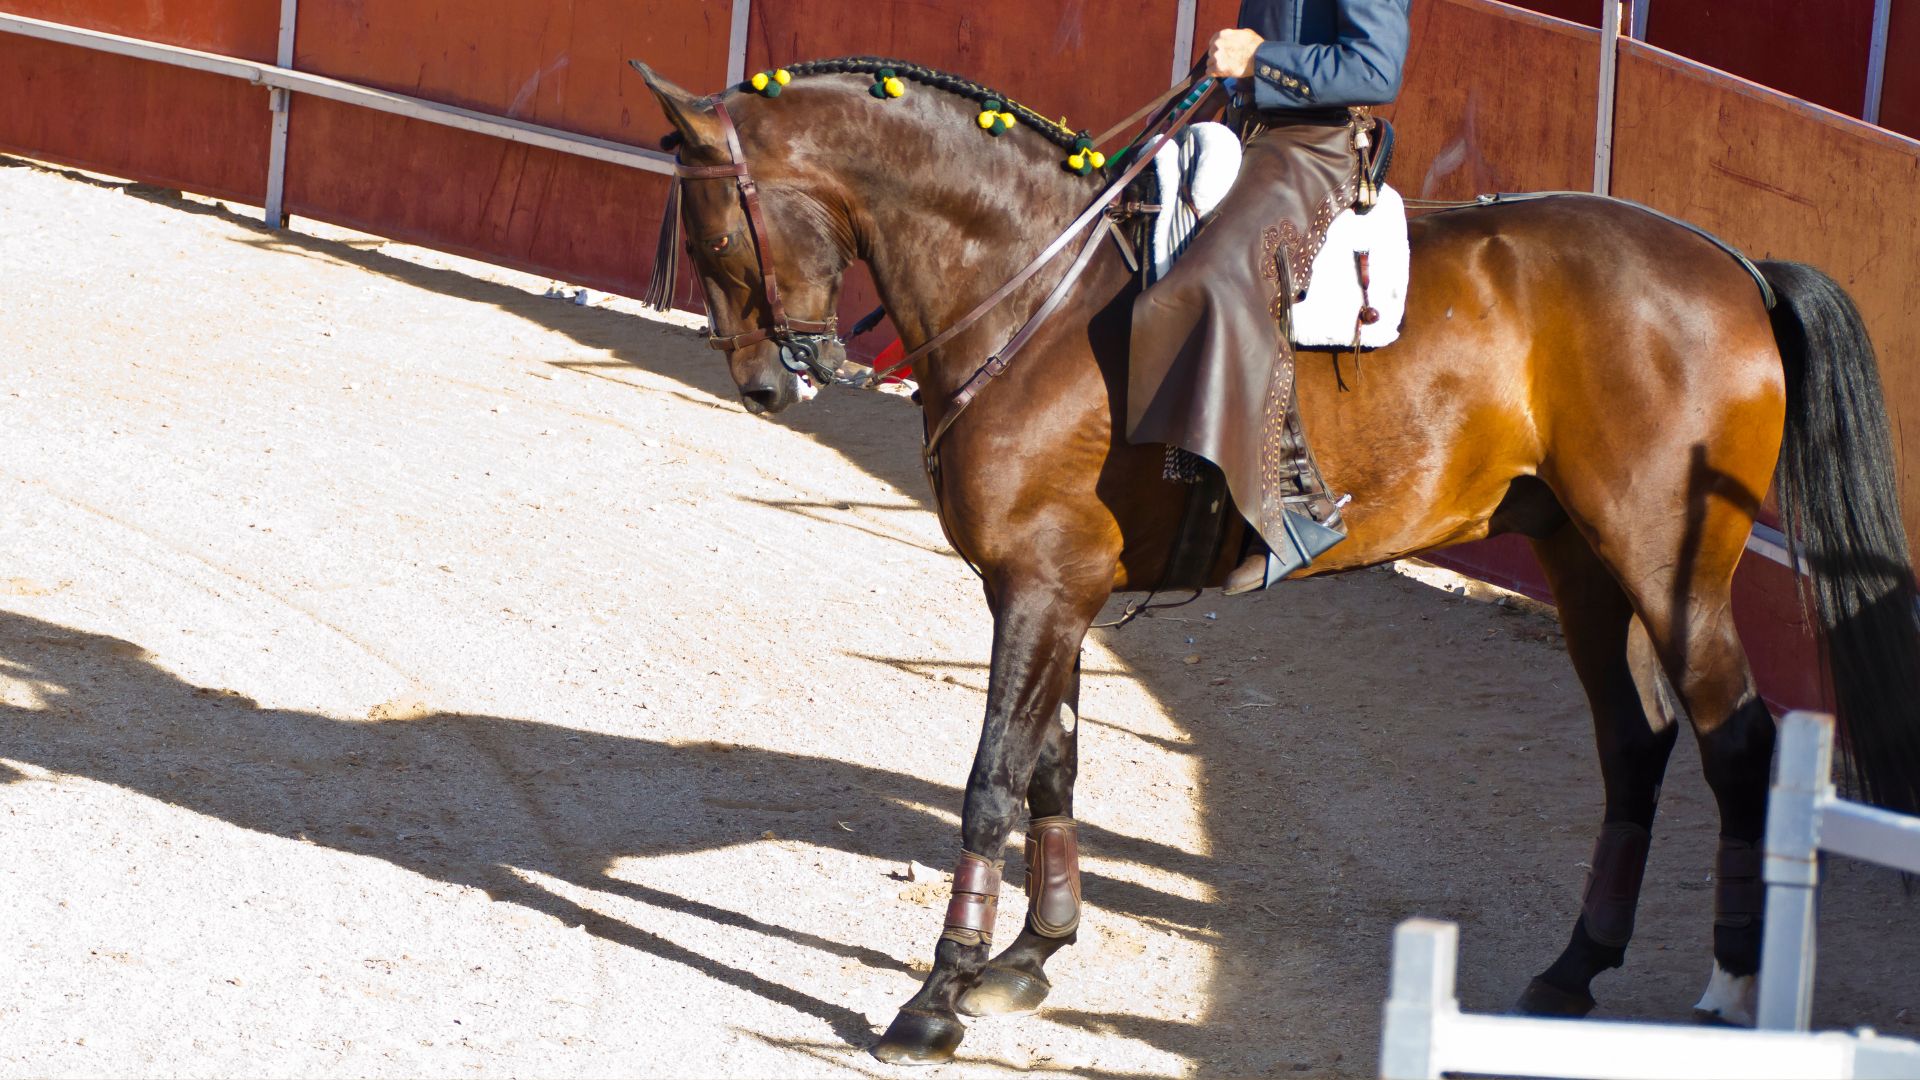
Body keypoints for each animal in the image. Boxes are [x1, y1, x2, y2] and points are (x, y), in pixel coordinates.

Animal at [631, 57, 1920, 1064]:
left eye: (714, 230)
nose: (764, 383)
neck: (1034, 287)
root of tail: (1734, 266)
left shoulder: (1042, 586)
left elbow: (993, 778)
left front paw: (939, 994)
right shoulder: (1053, 587)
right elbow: (1055, 765)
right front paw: (1033, 955)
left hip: (1669, 564)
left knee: (1738, 744)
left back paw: (1730, 993)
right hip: (1583, 559)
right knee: (1634, 744)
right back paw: (1571, 973)